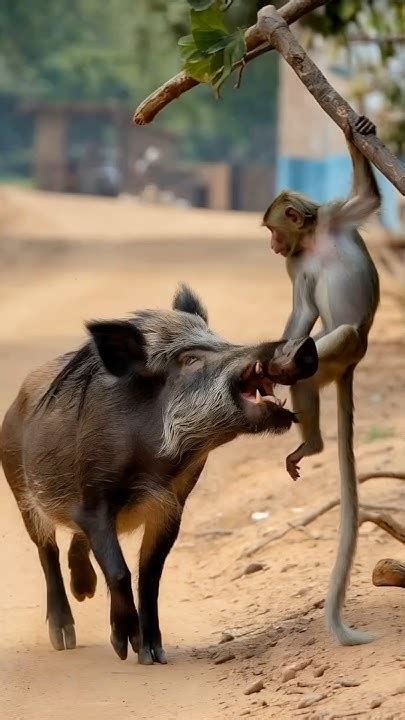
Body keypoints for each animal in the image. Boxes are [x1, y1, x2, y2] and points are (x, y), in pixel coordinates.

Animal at [1, 285, 317, 665]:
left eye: (219, 339)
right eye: (190, 358)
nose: (303, 346)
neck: (154, 461)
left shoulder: (171, 505)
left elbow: (149, 575)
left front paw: (154, 655)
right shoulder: (94, 501)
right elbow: (119, 570)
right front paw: (126, 648)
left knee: (77, 545)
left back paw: (85, 592)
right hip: (20, 490)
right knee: (46, 552)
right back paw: (64, 637)